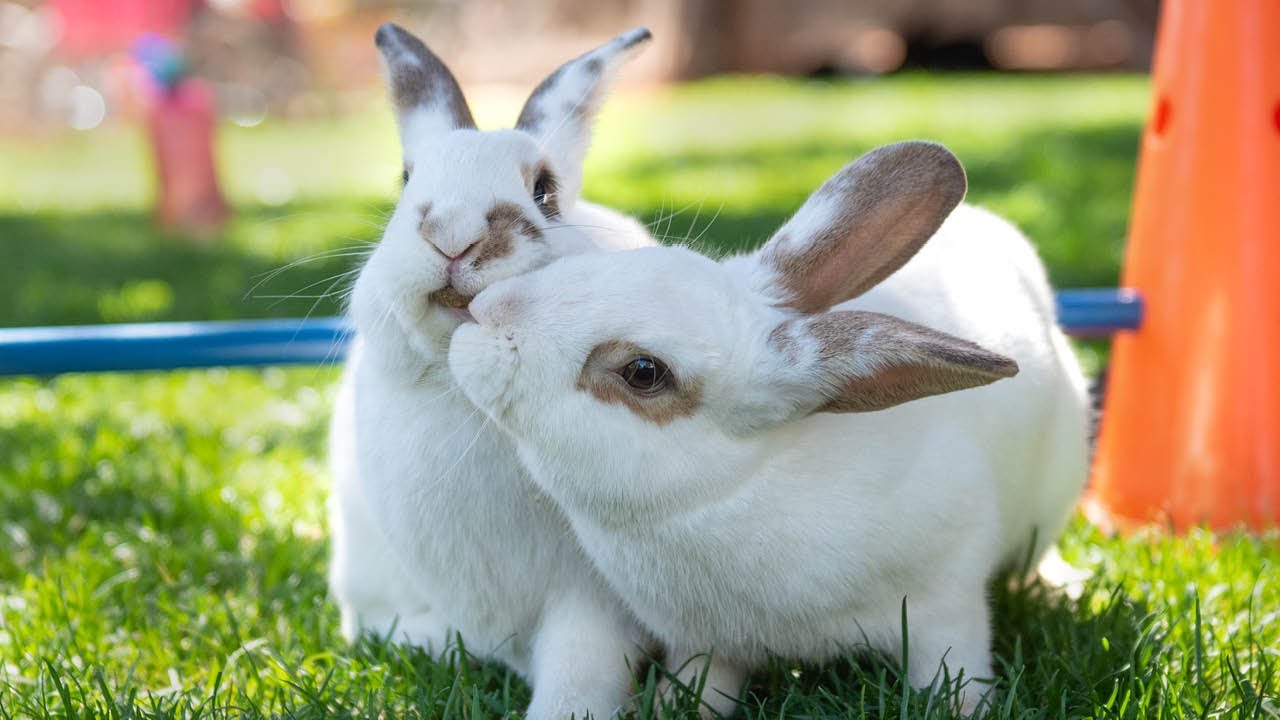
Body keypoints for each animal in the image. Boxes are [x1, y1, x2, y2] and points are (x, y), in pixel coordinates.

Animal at [327, 23, 656, 720]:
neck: (467, 392)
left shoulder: (593, 604)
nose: (453, 236)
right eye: (405, 180)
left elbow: (579, 672)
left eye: (544, 191)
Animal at [448, 141, 1091, 716]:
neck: (732, 494)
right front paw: (673, 707)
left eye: (643, 372)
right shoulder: (705, 640)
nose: (484, 313)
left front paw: (965, 708)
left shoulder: (946, 603)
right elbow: (703, 686)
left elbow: (954, 665)